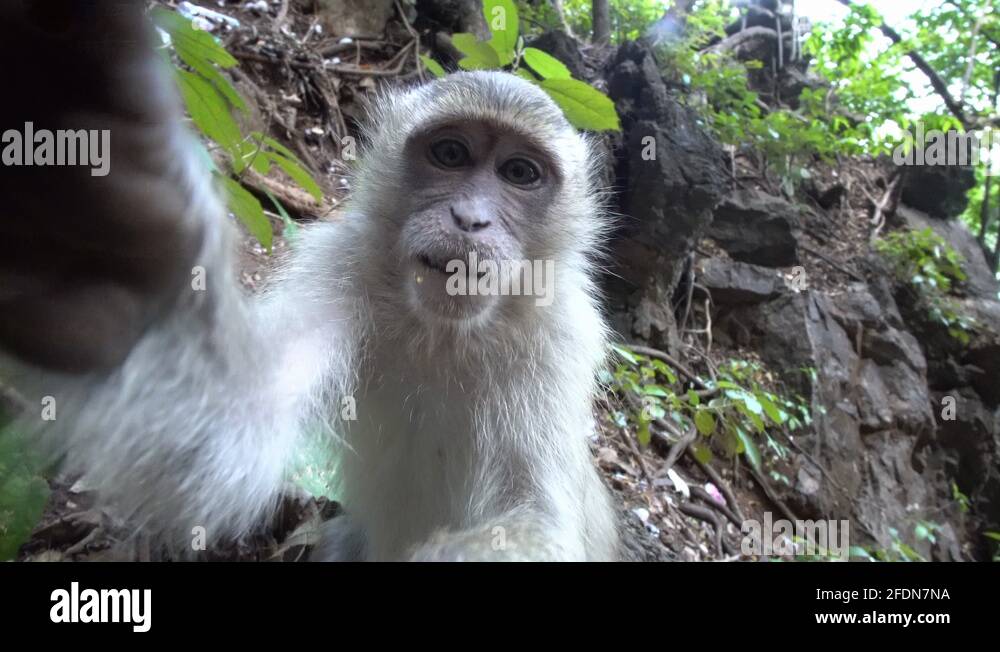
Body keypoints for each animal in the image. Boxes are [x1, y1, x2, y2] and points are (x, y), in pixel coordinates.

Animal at [0, 2, 618, 561]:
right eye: (450, 153)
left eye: (519, 173)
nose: (470, 218)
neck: (442, 334)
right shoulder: (341, 267)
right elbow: (225, 434)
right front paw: (113, 261)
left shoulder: (561, 336)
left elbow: (537, 517)